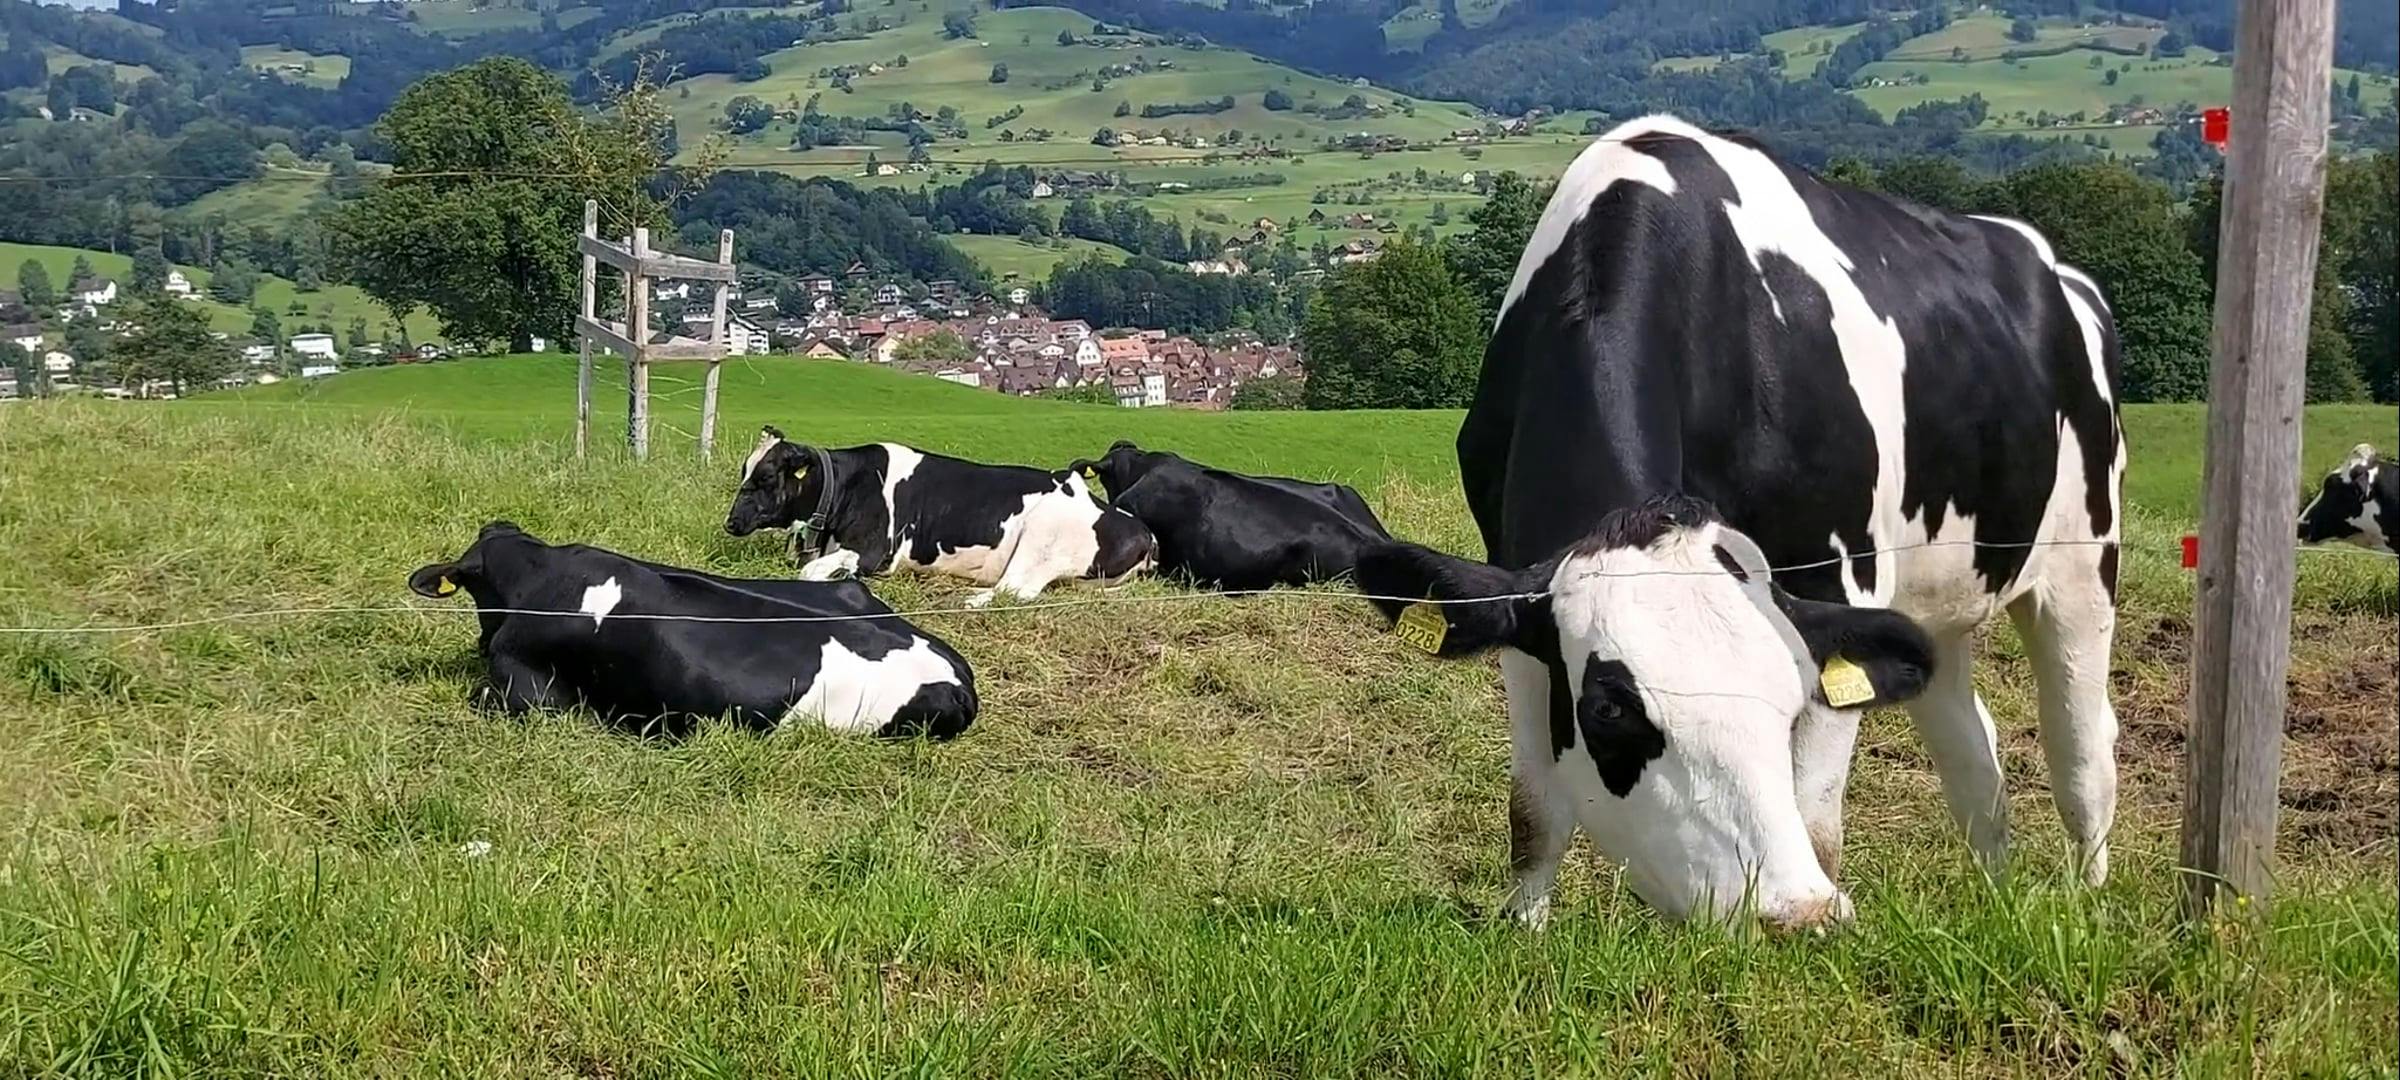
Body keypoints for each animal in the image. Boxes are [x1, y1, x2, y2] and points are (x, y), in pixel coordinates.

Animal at [724, 427, 1156, 607]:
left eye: (765, 477)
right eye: (744, 469)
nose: (730, 523)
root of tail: (1140, 530)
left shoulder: (872, 549)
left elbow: (809, 573)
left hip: (1041, 538)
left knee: (1016, 590)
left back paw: (968, 599)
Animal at [1356, 115, 2126, 929]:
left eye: (1788, 701)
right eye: (1608, 709)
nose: (1792, 912)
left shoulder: (1840, 584)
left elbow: (1815, 817)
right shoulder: (1516, 591)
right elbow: (1534, 808)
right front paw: (1526, 929)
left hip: (2083, 560)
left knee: (2082, 747)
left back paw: (2086, 900)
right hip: (1937, 606)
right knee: (1972, 746)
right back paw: (1998, 897)